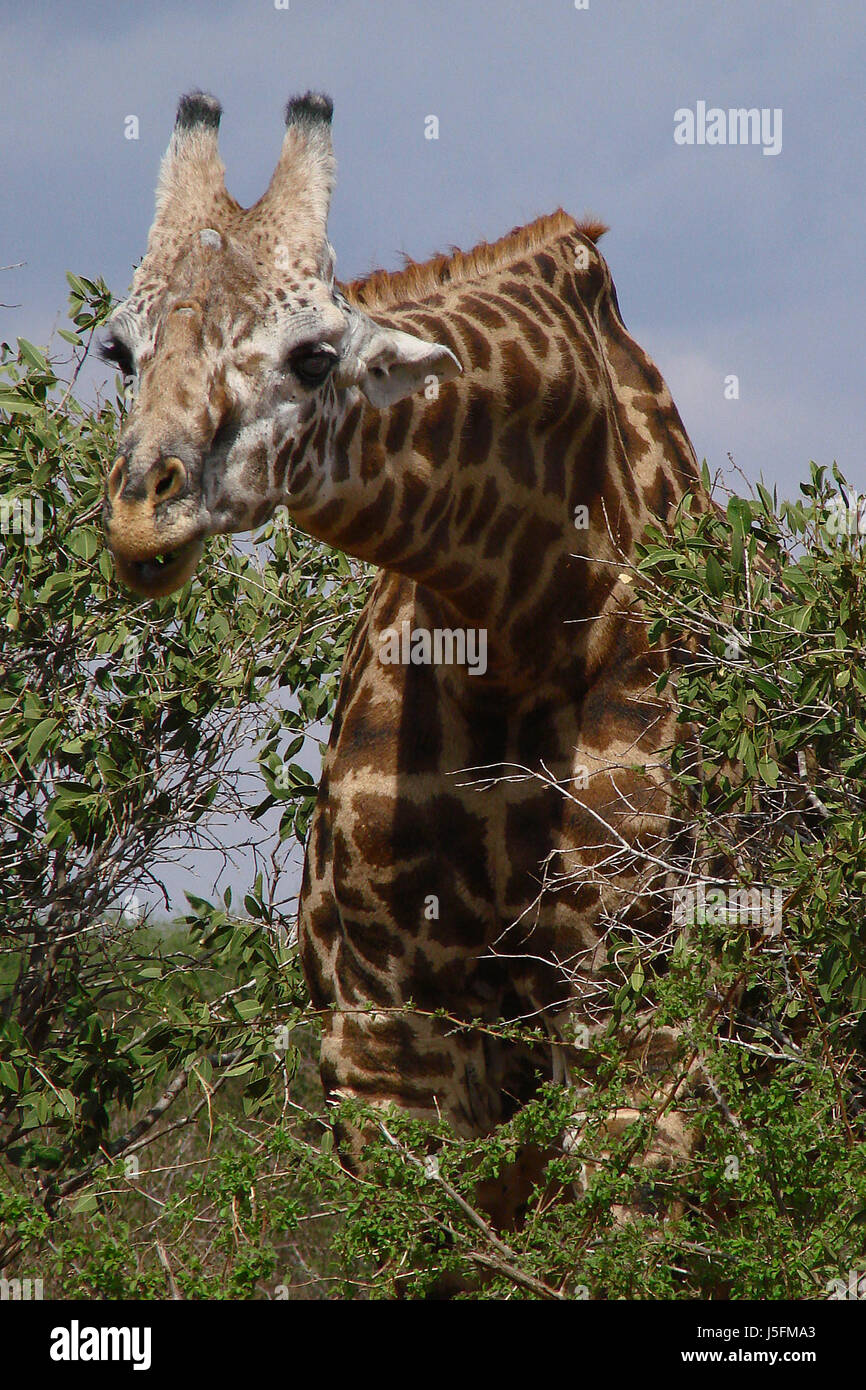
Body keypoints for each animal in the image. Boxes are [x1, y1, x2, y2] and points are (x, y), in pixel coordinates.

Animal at [102, 91, 707, 1218]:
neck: (519, 621)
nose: (140, 512)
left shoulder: (642, 1024)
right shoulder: (386, 1040)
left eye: (311, 356)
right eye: (122, 349)